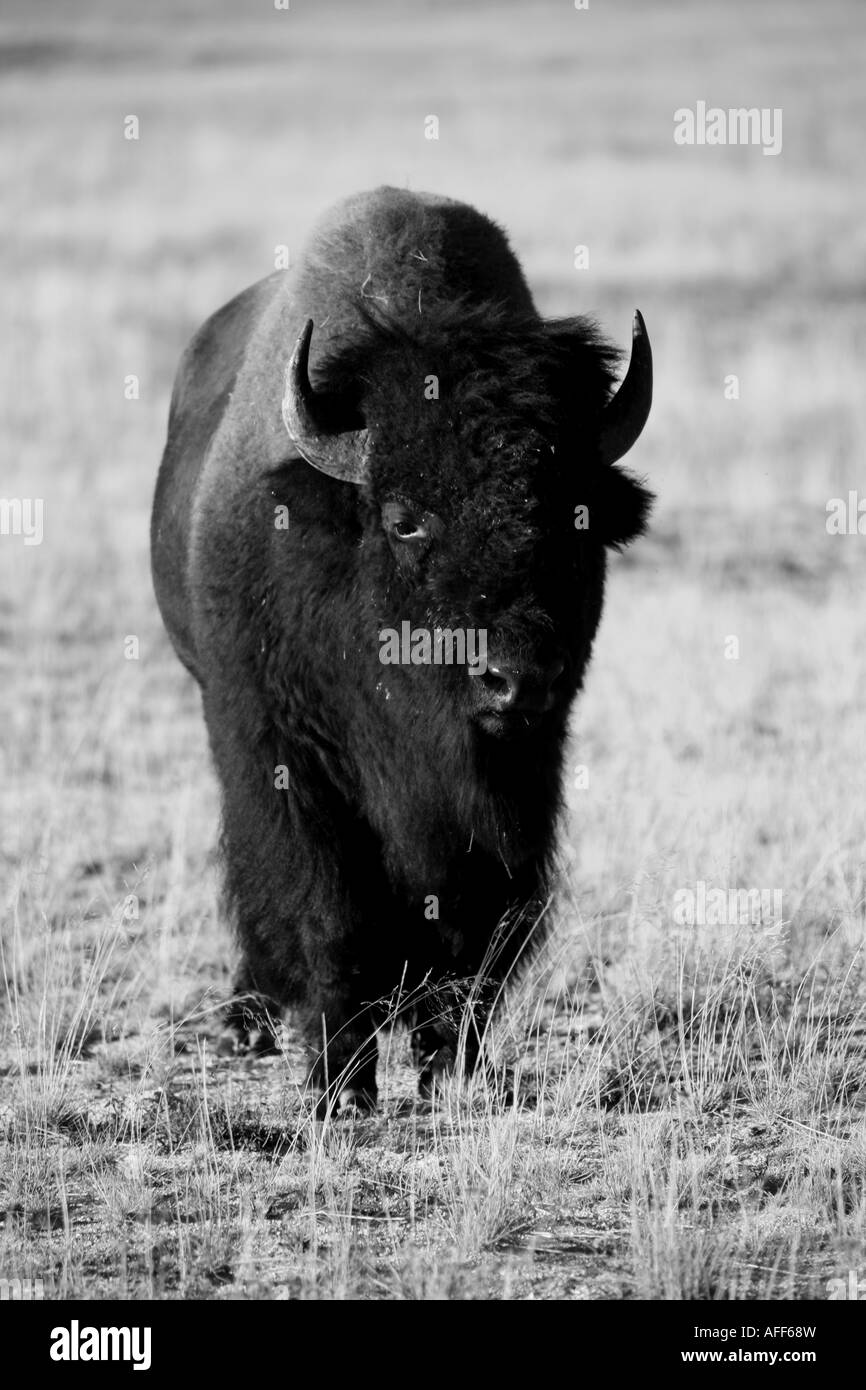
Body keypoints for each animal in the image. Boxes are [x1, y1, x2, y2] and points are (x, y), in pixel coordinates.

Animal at [150, 186, 653, 1115]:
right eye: (405, 518)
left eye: (575, 517)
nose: (515, 680)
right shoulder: (282, 754)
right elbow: (327, 910)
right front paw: (340, 1085)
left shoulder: (519, 782)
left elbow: (481, 918)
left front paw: (446, 1063)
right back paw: (248, 1020)